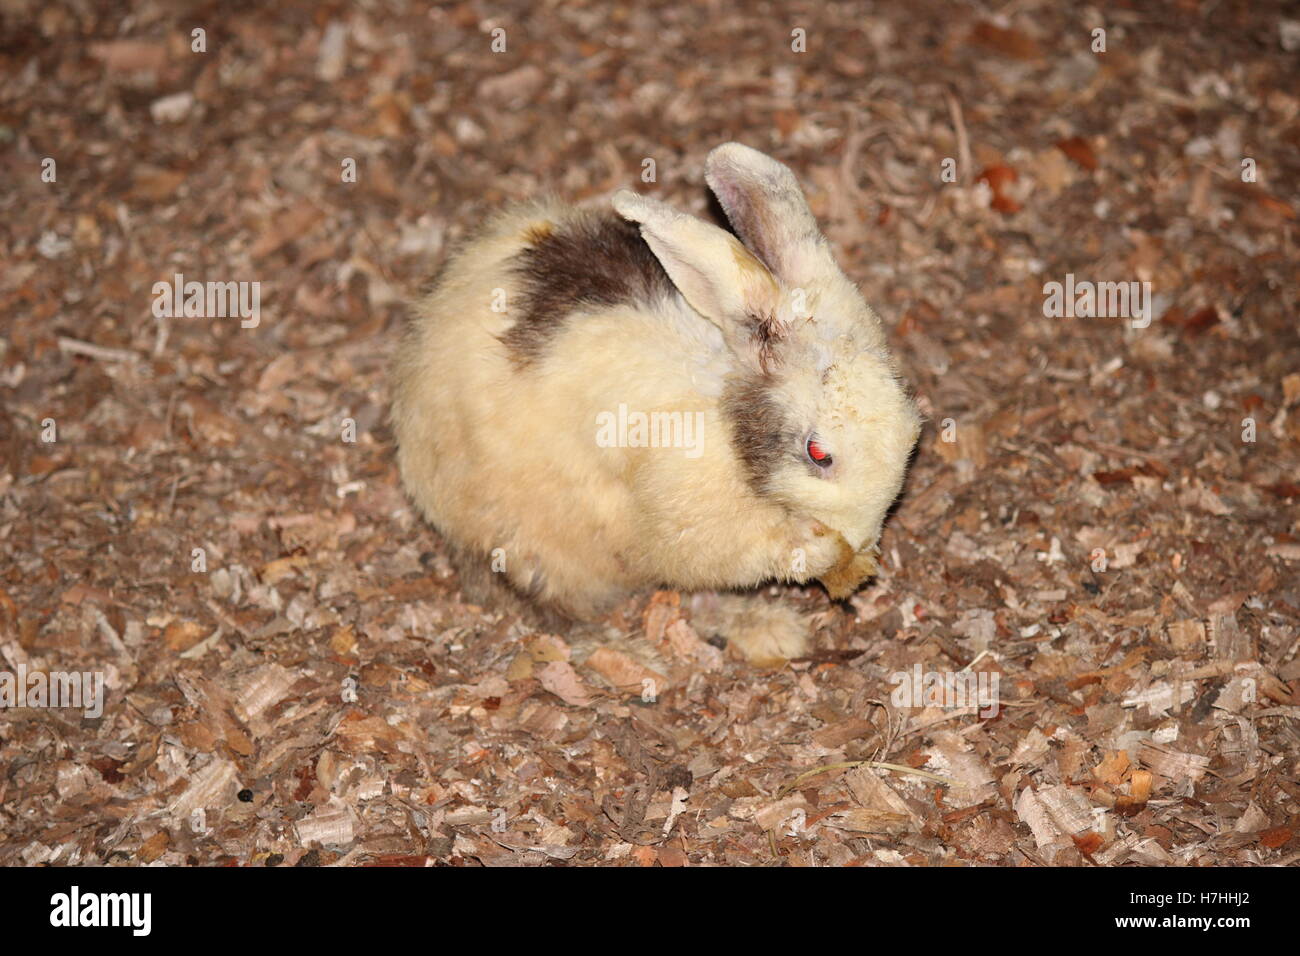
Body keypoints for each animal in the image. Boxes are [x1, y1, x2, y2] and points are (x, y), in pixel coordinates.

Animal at [390, 143, 921, 666]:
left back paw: (765, 631)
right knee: (552, 610)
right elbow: (737, 551)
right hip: (531, 541)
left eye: (912, 433)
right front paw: (820, 554)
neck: (726, 416)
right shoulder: (690, 520)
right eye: (818, 454)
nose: (861, 540)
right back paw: (626, 652)